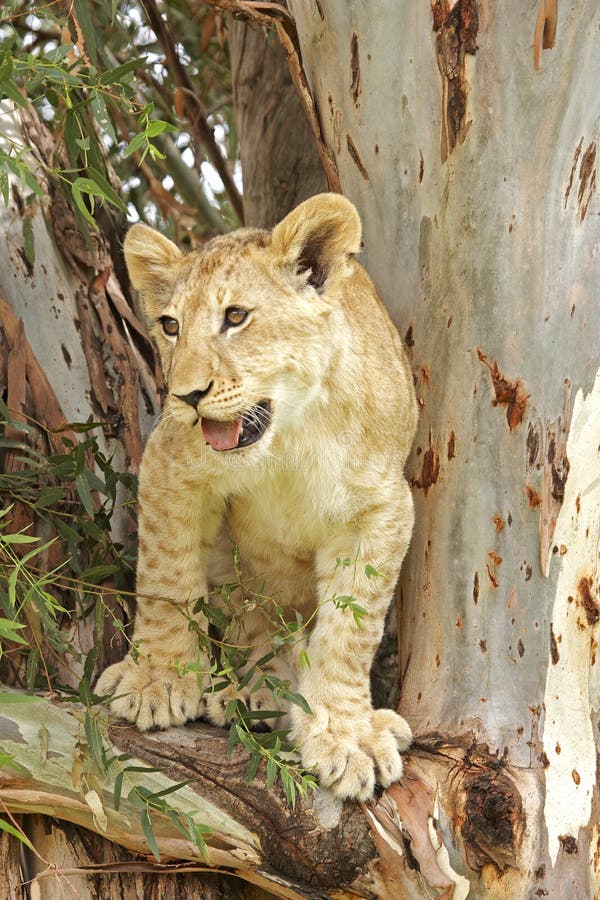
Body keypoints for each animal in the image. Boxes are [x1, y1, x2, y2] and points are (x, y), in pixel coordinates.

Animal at [96, 193, 417, 801]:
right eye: (170, 326)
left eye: (236, 317)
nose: (185, 395)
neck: (290, 434)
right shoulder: (170, 463)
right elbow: (166, 581)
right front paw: (156, 681)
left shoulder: (383, 508)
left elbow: (351, 631)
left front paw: (347, 736)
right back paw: (251, 695)